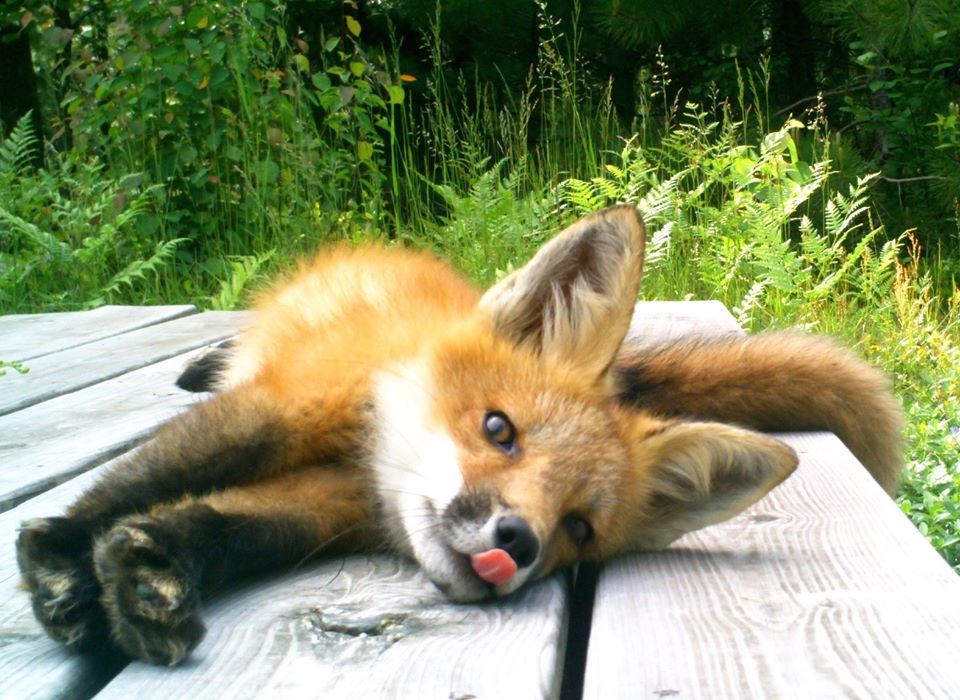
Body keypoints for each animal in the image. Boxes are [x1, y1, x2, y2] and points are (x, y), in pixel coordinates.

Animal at [16, 204, 902, 666]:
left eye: (578, 529)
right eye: (499, 429)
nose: (519, 542)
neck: (364, 459)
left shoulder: (329, 507)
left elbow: (227, 526)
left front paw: (145, 577)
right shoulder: (281, 408)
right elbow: (140, 477)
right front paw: (59, 559)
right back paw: (199, 363)